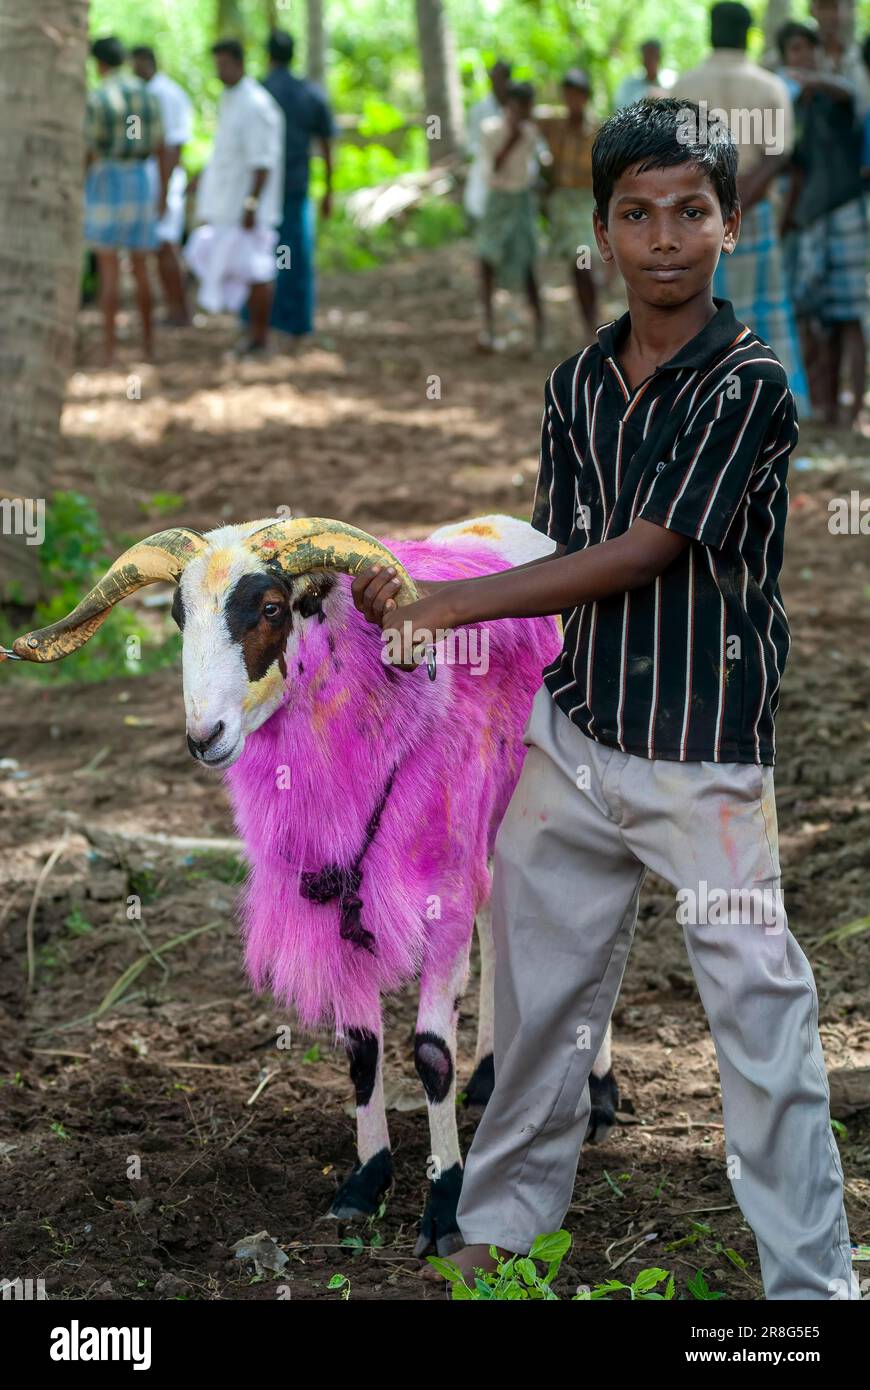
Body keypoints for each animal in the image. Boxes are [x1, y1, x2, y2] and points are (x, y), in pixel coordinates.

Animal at [4, 512, 619, 1254]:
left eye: (271, 608)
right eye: (179, 615)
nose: (204, 736)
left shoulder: (437, 893)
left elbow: (430, 1054)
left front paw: (445, 1205)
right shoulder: (335, 906)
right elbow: (360, 1049)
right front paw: (365, 1182)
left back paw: (601, 1095)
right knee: (497, 921)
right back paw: (491, 1073)